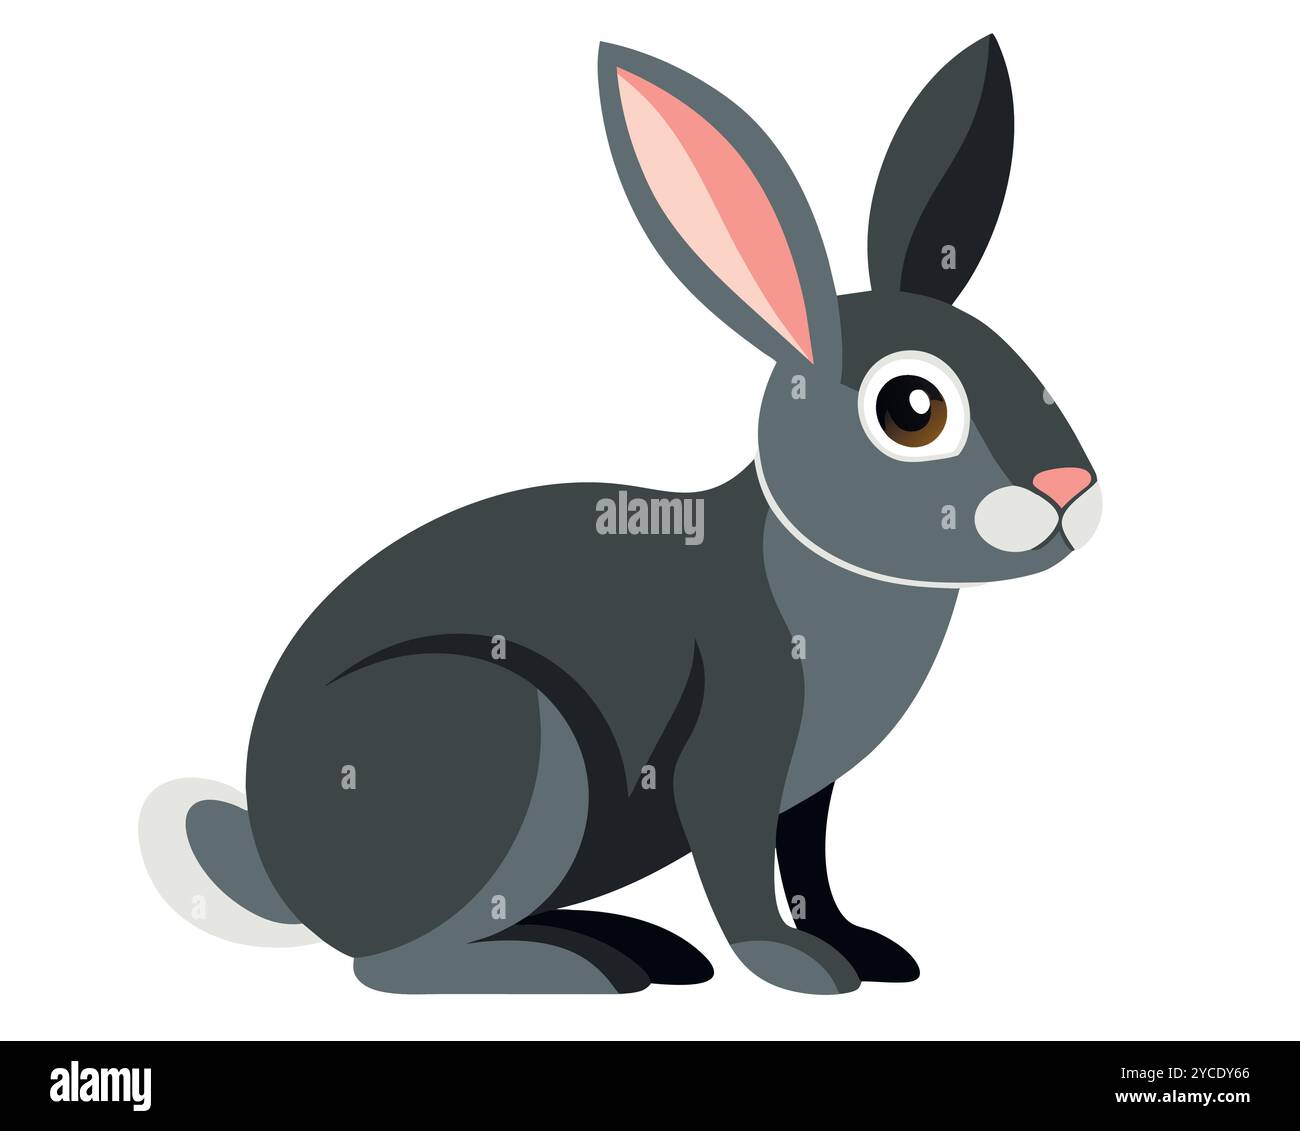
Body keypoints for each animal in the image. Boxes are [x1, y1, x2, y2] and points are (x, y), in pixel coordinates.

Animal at [140, 34, 1100, 995]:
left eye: (1017, 359)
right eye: (911, 408)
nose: (1070, 491)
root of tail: (283, 873)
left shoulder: (808, 791)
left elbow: (809, 862)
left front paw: (864, 949)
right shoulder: (734, 751)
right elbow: (739, 866)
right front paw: (795, 967)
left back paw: (640, 947)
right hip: (510, 736)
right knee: (395, 966)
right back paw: (587, 967)